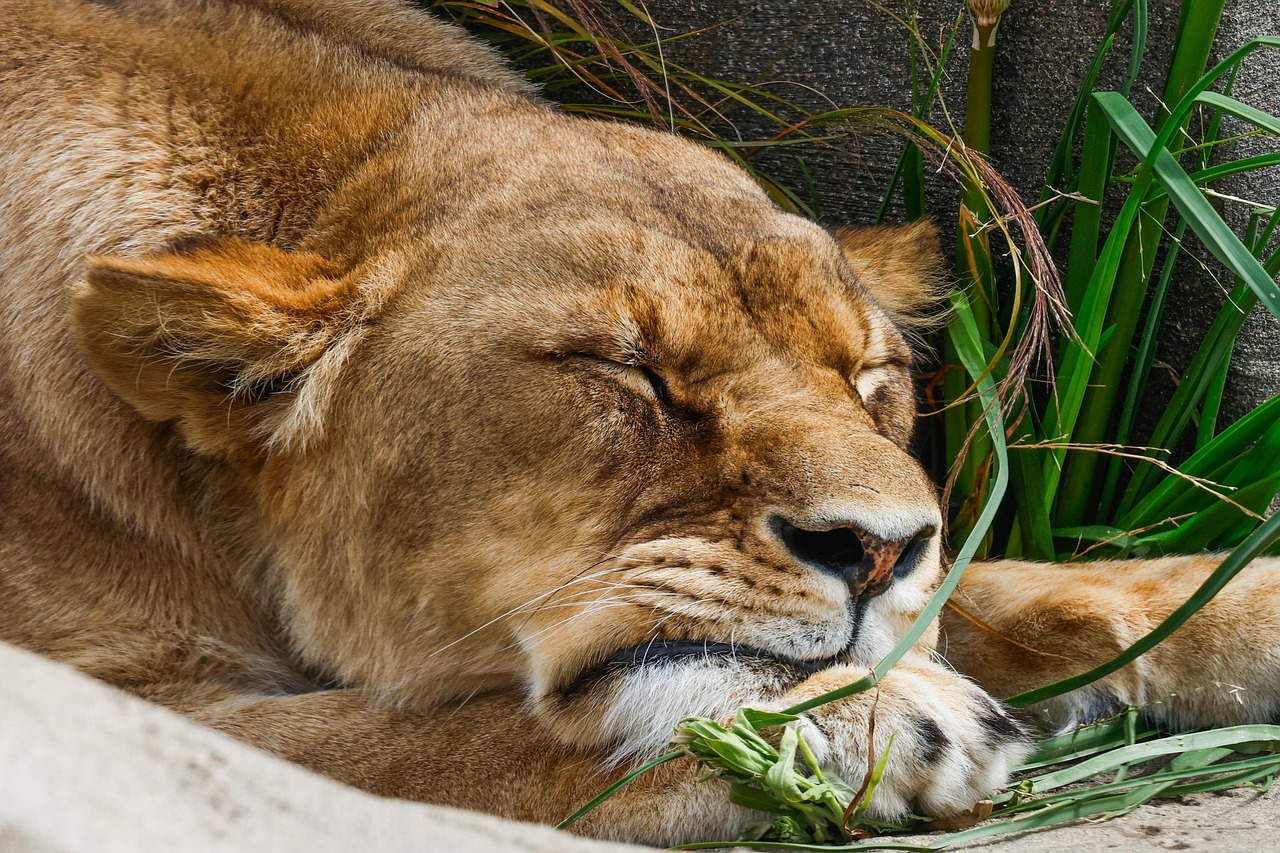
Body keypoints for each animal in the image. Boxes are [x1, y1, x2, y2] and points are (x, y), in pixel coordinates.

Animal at [3, 0, 1279, 846]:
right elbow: (446, 732)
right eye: (633, 373)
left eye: (867, 373)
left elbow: (995, 589)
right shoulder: (128, 702)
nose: (874, 550)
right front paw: (850, 722)